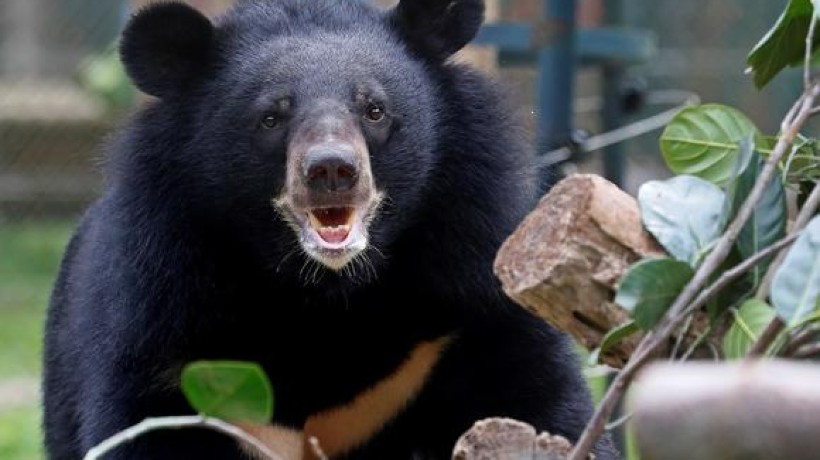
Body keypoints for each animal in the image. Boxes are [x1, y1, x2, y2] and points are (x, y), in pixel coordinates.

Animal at [43, 0, 616, 459]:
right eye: (271, 117)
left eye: (375, 109)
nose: (332, 170)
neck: (327, 294)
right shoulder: (166, 325)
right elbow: (146, 433)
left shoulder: (465, 302)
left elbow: (536, 400)